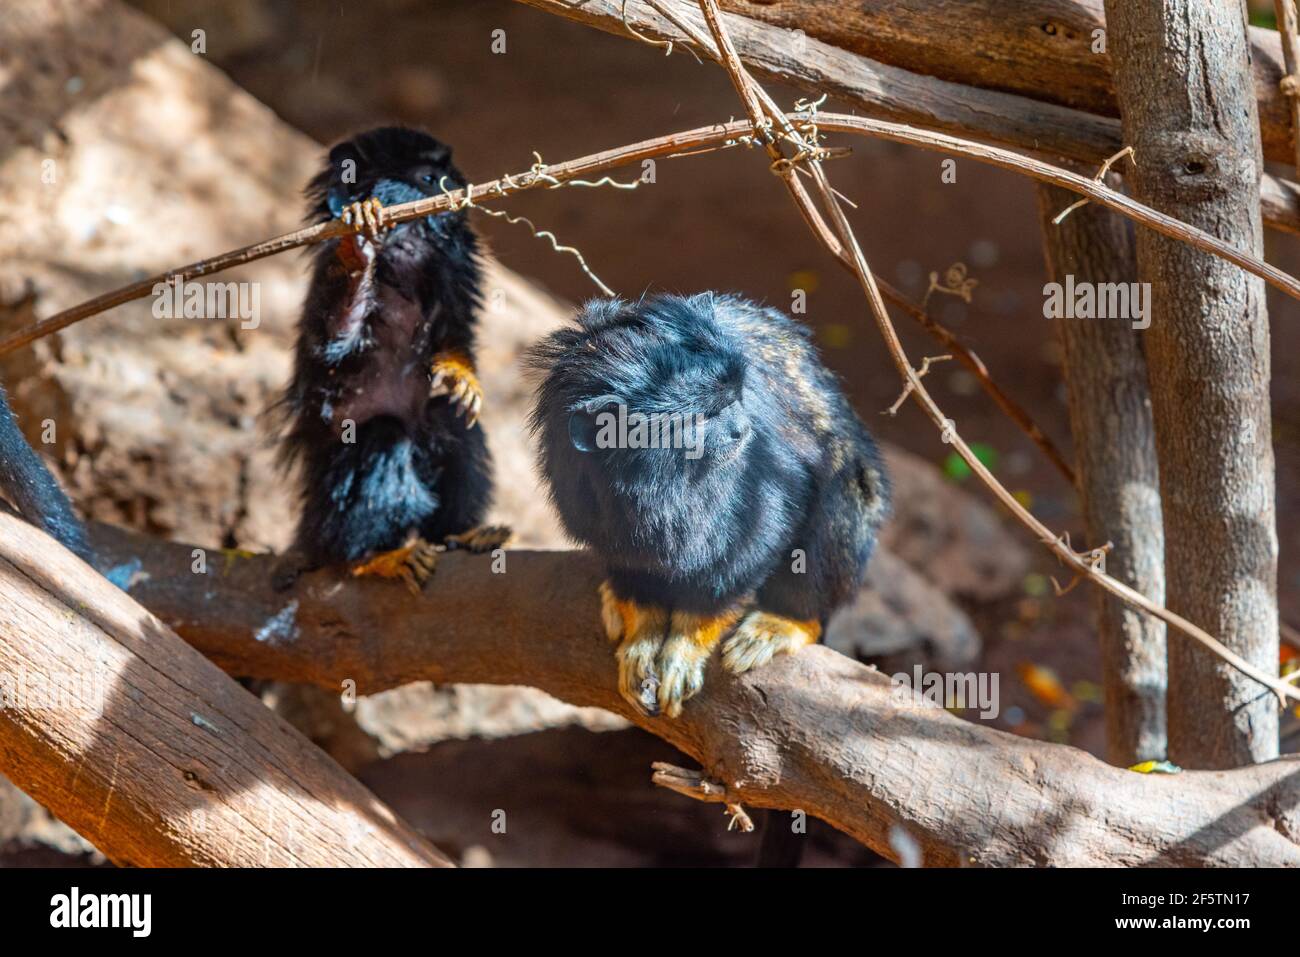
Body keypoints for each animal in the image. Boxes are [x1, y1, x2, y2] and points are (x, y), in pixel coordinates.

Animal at [274, 126, 508, 593]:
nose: (454, 185)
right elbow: (331, 344)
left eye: (447, 174)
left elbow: (456, 334)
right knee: (382, 435)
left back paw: (461, 535)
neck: (408, 250)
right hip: (329, 492)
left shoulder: (454, 266)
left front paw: (462, 376)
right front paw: (357, 248)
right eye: (426, 177)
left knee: (447, 418)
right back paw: (369, 558)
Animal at [527, 291, 891, 720]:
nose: (740, 428)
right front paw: (642, 630)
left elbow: (760, 533)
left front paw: (688, 640)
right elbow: (629, 555)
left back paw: (790, 619)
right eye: (705, 417)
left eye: (734, 399)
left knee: (844, 484)